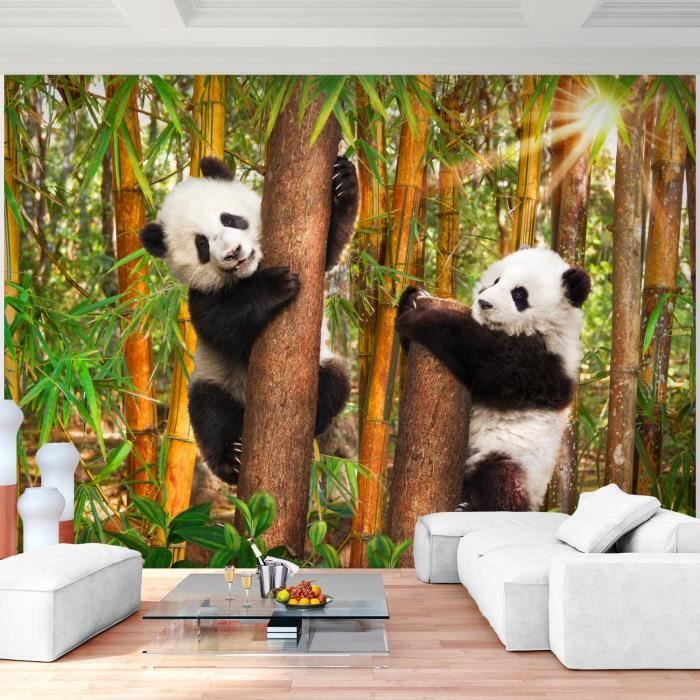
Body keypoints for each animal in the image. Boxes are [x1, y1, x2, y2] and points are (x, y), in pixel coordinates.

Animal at [140, 155, 359, 484]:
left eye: (230, 219)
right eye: (202, 245)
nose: (234, 252)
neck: (248, 273)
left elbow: (329, 248)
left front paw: (344, 180)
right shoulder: (201, 297)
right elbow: (222, 326)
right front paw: (275, 285)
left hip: (322, 362)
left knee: (336, 382)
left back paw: (314, 419)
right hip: (215, 379)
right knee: (210, 415)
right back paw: (231, 460)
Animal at [395, 247, 591, 511]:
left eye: (519, 294)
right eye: (496, 280)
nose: (484, 303)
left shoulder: (542, 363)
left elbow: (482, 355)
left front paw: (423, 316)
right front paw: (413, 296)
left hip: (514, 457)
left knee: (499, 481)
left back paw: (470, 506)